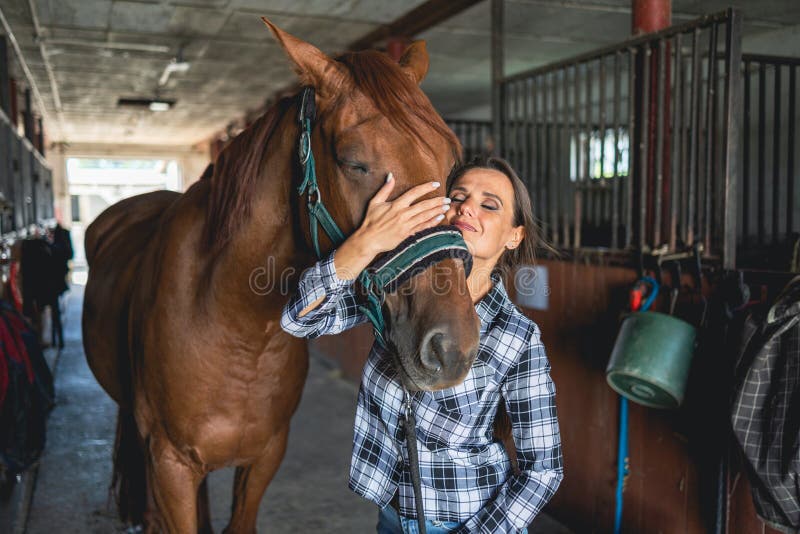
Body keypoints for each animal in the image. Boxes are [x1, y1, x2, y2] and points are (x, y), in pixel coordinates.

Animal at [82, 18, 480, 533]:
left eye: (451, 161)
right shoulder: (168, 464)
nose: (452, 348)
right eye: (353, 162)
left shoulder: (265, 457)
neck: (235, 324)